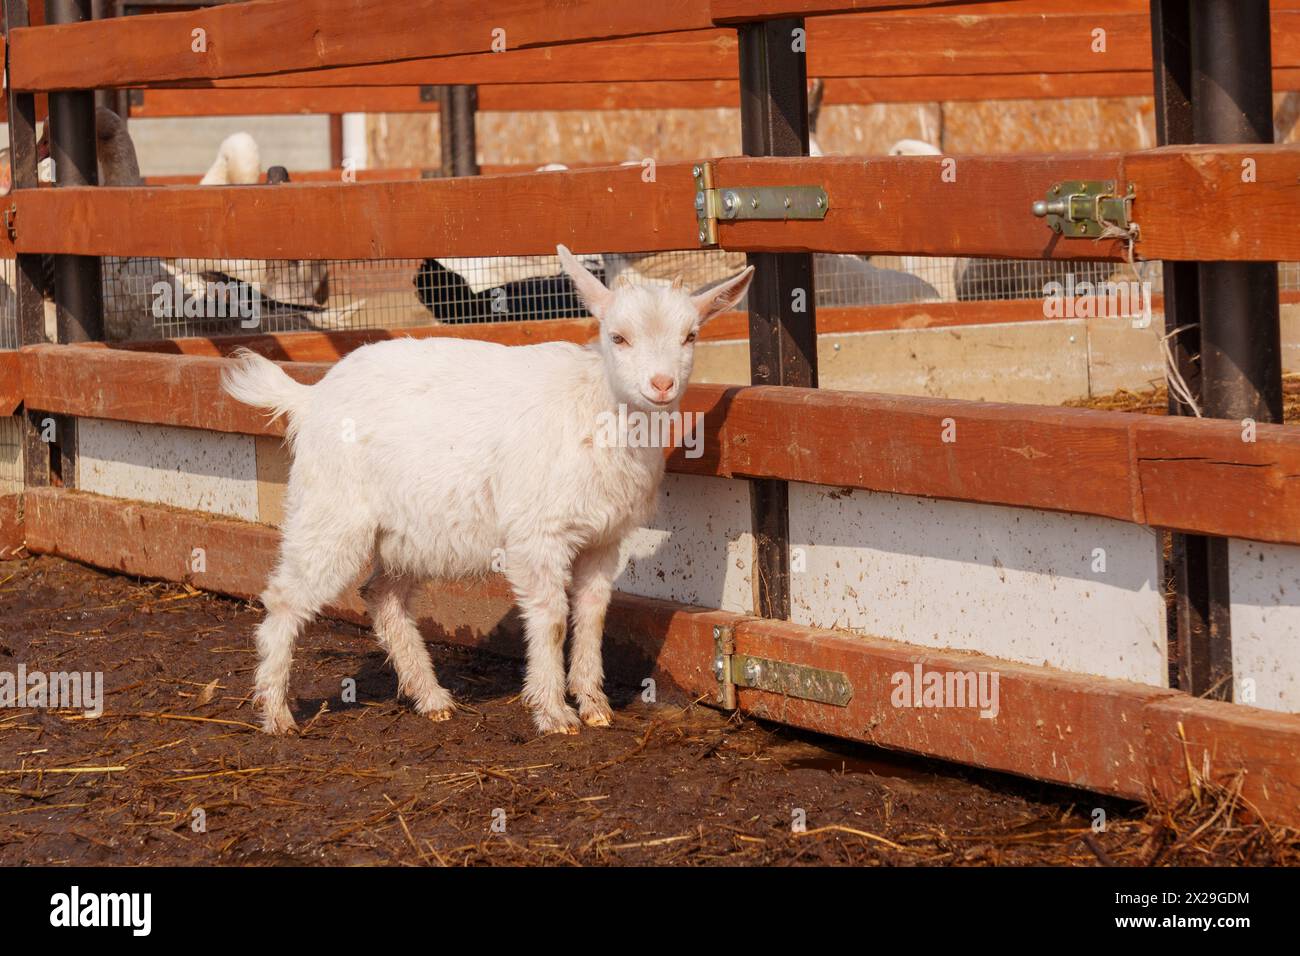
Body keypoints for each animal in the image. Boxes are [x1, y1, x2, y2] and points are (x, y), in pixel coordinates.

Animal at [222, 245, 753, 736]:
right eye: (618, 337)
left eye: (690, 336)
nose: (661, 385)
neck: (594, 404)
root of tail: (310, 397)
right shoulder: (537, 534)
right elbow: (552, 617)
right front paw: (553, 712)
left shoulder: (605, 538)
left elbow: (592, 615)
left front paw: (594, 705)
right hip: (330, 511)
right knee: (285, 597)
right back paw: (276, 713)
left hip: (410, 533)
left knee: (382, 595)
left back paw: (432, 698)